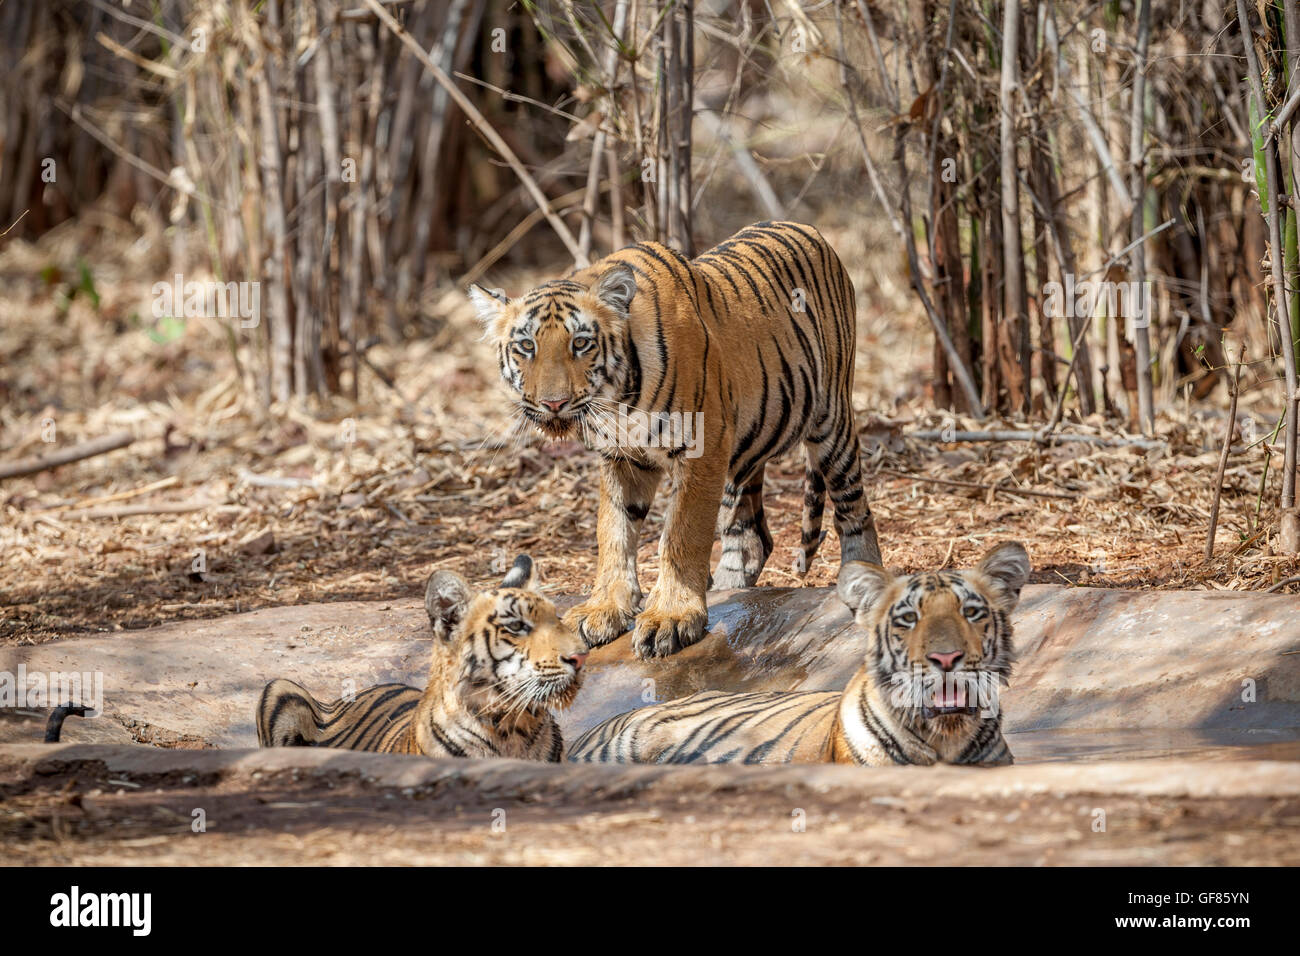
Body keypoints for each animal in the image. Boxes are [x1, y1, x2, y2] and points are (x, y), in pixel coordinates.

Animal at [468, 221, 881, 660]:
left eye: (580, 343)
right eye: (525, 346)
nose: (553, 403)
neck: (616, 400)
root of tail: (809, 229)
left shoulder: (704, 448)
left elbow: (682, 534)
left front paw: (671, 616)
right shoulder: (622, 459)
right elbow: (613, 533)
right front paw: (603, 610)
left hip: (831, 421)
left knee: (853, 507)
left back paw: (861, 577)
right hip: (746, 447)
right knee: (750, 533)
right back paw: (731, 588)